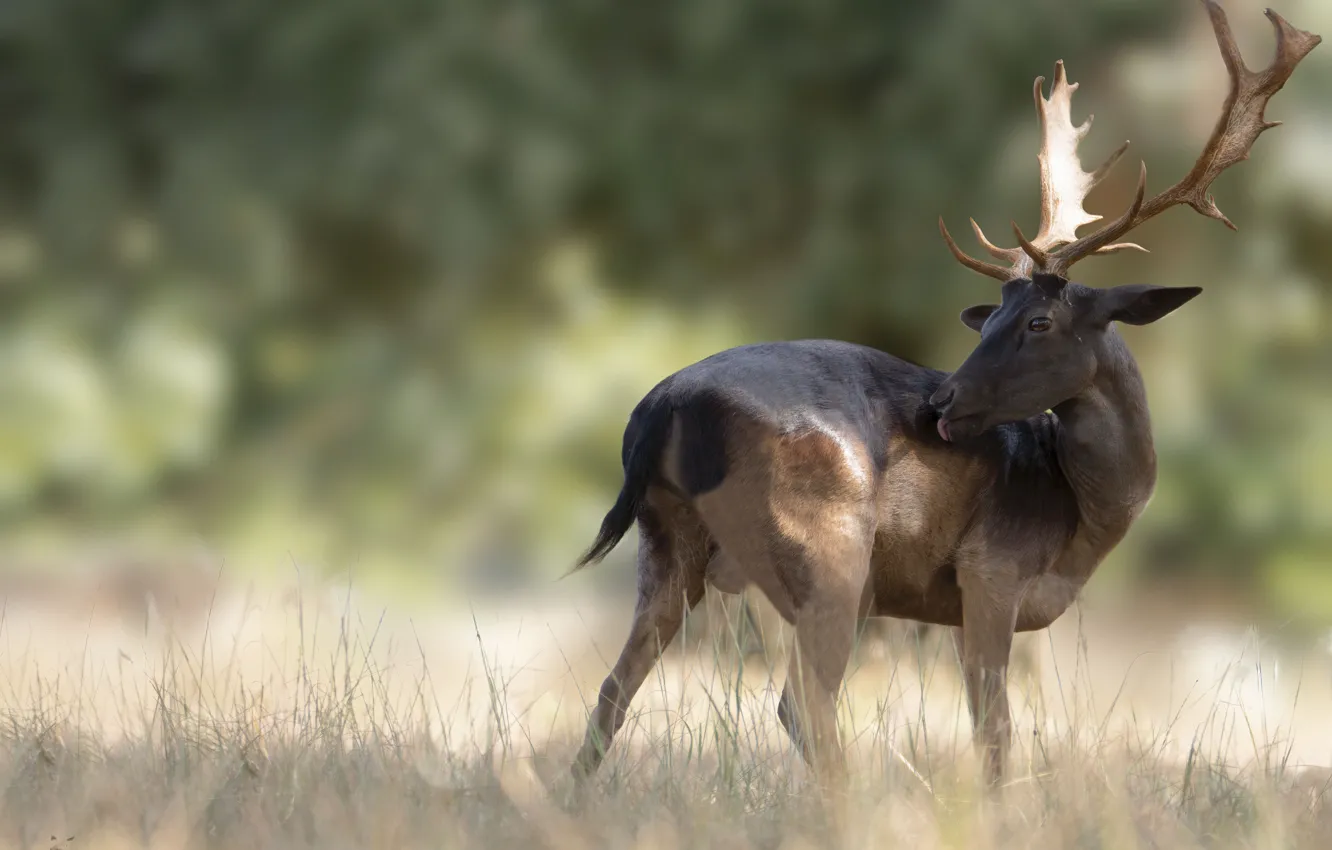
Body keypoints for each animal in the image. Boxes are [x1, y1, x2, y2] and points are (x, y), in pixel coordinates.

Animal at [568, 0, 1320, 788]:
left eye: (1037, 320)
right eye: (989, 317)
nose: (943, 404)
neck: (1083, 522)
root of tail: (660, 409)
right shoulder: (991, 568)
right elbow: (995, 732)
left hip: (665, 544)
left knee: (613, 691)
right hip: (830, 546)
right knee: (800, 701)